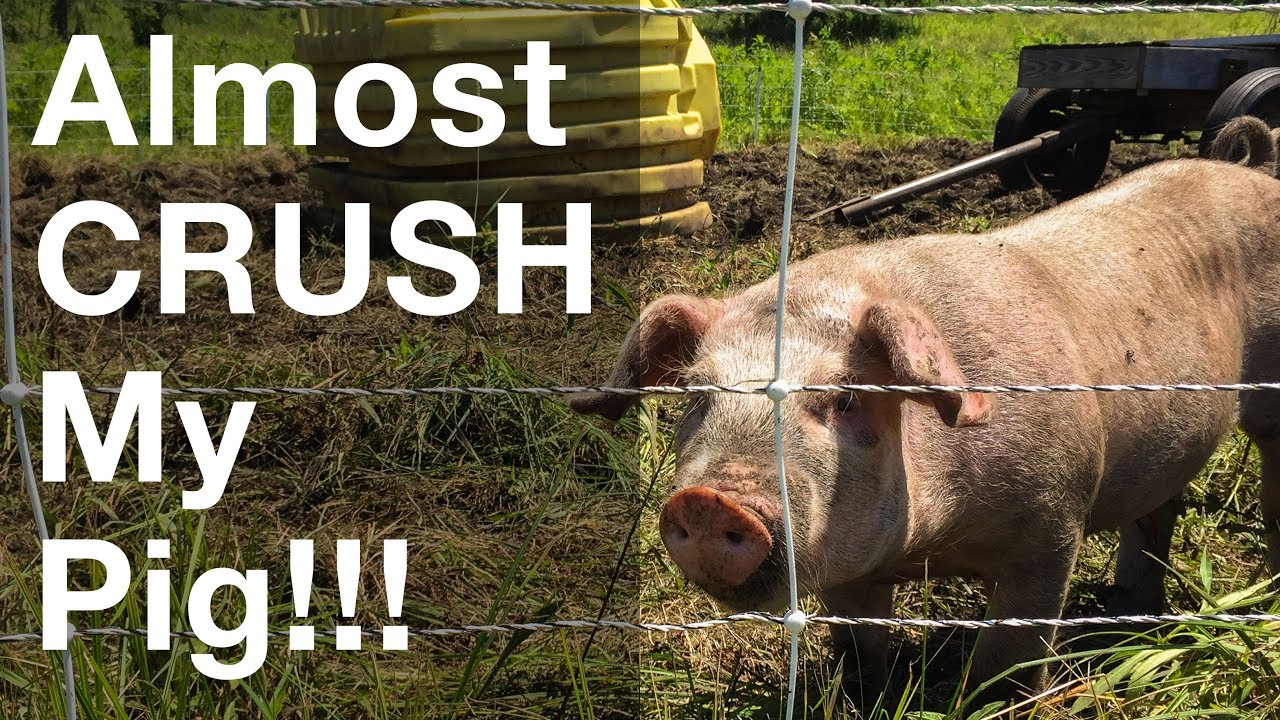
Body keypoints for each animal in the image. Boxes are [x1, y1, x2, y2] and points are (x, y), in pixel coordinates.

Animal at [569, 146, 1280, 702]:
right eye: (695, 395)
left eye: (845, 399)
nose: (710, 500)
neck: (937, 542)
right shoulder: (853, 571)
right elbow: (858, 653)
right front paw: (865, 694)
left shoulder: (1055, 522)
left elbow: (1011, 656)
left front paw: (992, 699)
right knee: (1159, 513)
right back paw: (1128, 609)